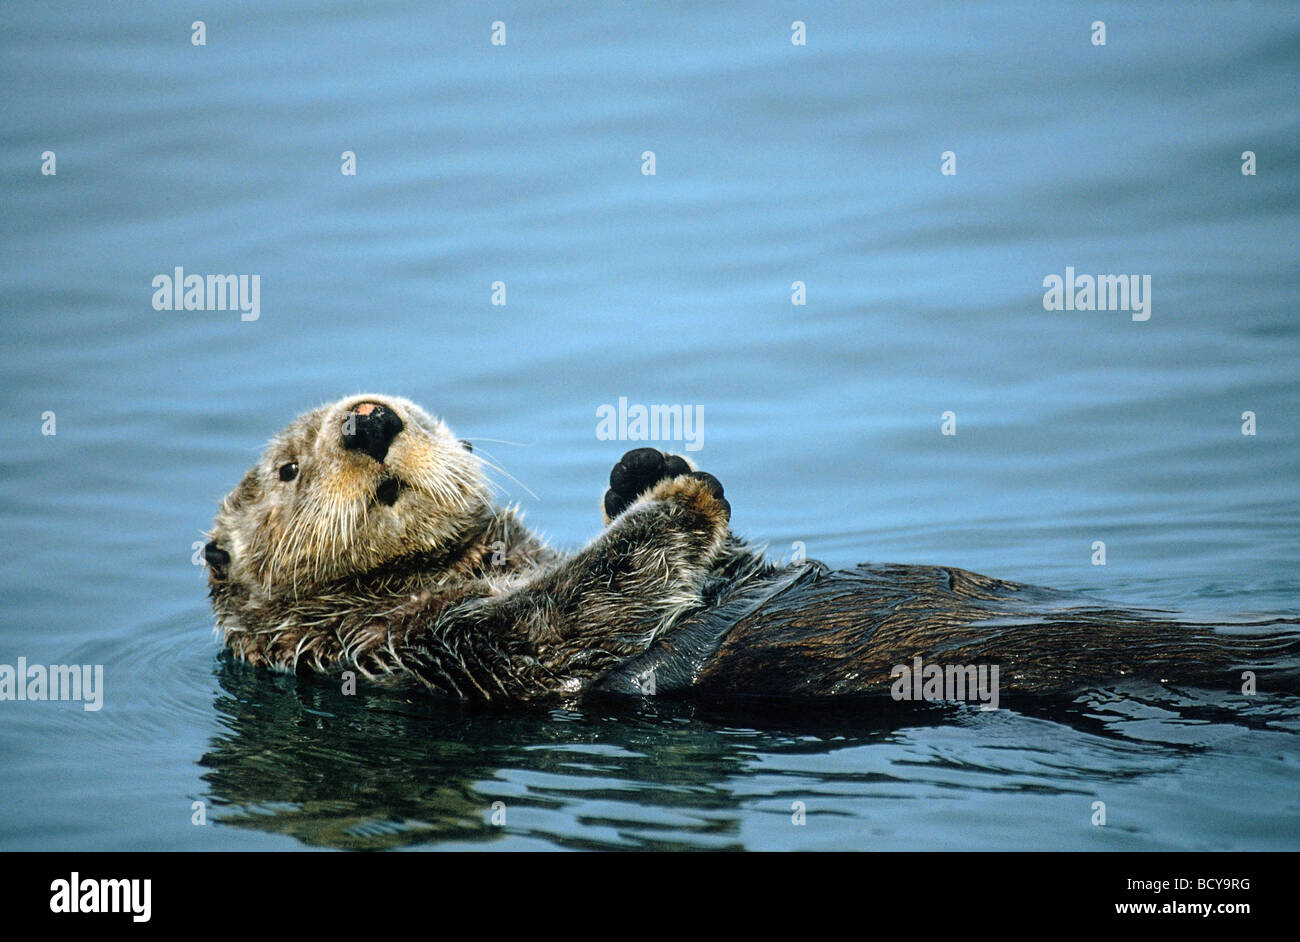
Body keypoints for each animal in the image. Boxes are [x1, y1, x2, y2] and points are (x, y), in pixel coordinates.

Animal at [205, 395, 1300, 704]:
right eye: (289, 470)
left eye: (415, 409)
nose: (369, 419)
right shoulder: (426, 650)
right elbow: (568, 609)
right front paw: (681, 495)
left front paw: (649, 463)